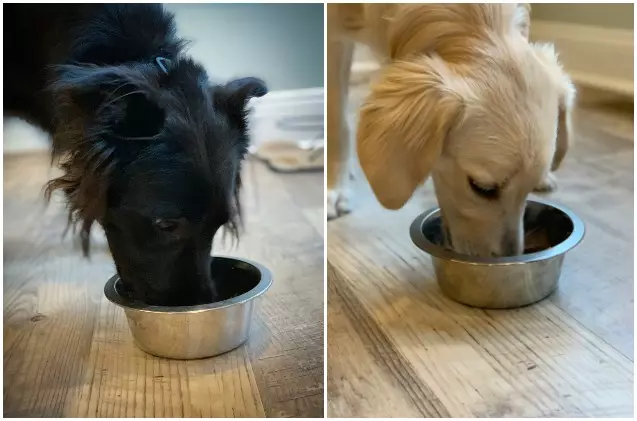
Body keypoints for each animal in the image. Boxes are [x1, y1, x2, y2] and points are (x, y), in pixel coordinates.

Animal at [328, 4, 576, 256]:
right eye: (482, 188)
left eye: (528, 190)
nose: (510, 259)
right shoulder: (333, 37)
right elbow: (336, 122)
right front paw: (336, 189)